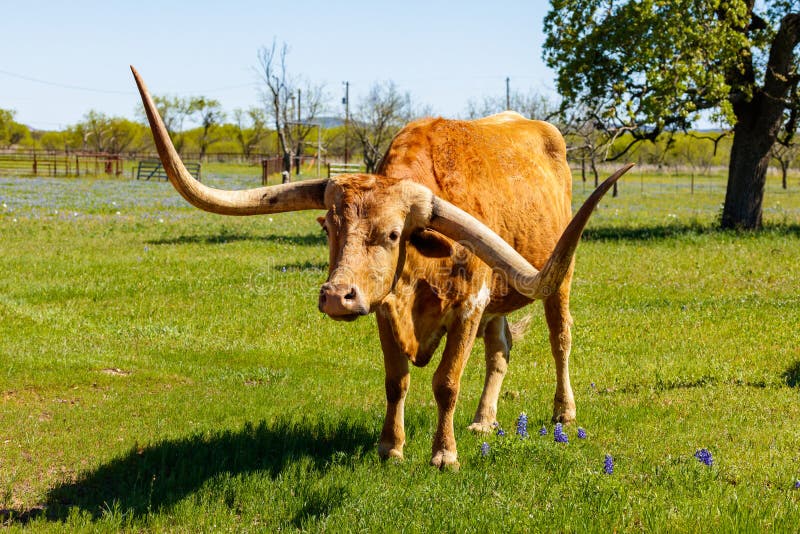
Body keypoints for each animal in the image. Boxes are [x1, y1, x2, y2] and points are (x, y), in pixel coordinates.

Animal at [131, 66, 632, 469]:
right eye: (330, 226)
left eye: (393, 234)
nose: (337, 296)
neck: (420, 276)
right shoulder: (386, 311)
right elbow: (397, 381)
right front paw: (391, 447)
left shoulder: (469, 306)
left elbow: (446, 382)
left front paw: (443, 453)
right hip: (500, 297)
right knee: (501, 349)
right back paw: (483, 420)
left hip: (558, 279)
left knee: (560, 339)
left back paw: (563, 412)